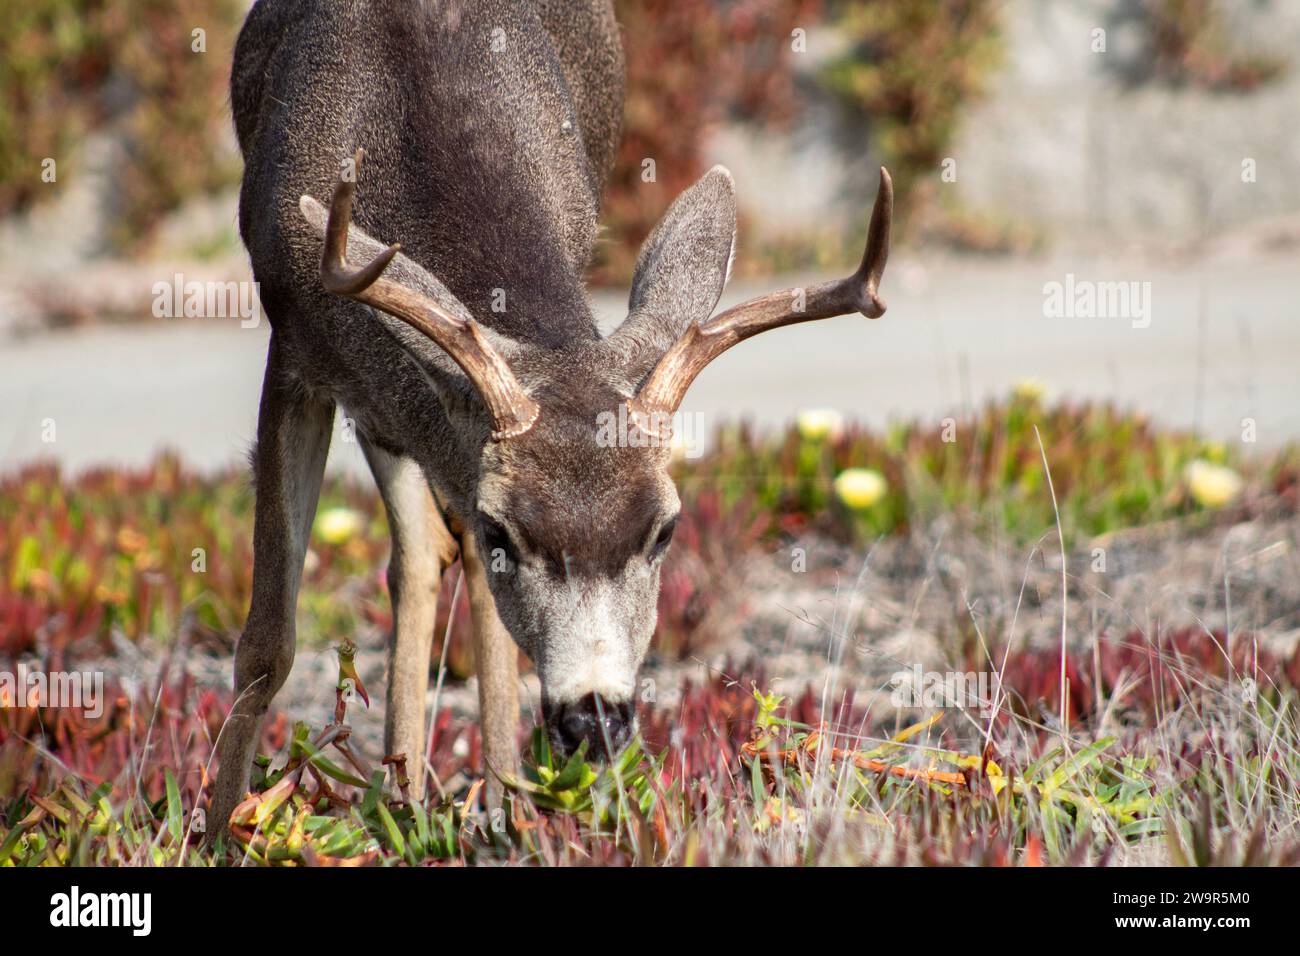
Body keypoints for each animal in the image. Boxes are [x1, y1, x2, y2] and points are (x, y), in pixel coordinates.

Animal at [209, 0, 893, 839]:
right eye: (507, 528)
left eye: (664, 530)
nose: (593, 720)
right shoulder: (295, 348)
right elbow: (266, 643)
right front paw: (218, 833)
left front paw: (504, 802)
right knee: (420, 551)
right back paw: (405, 792)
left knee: (436, 553)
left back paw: (473, 797)